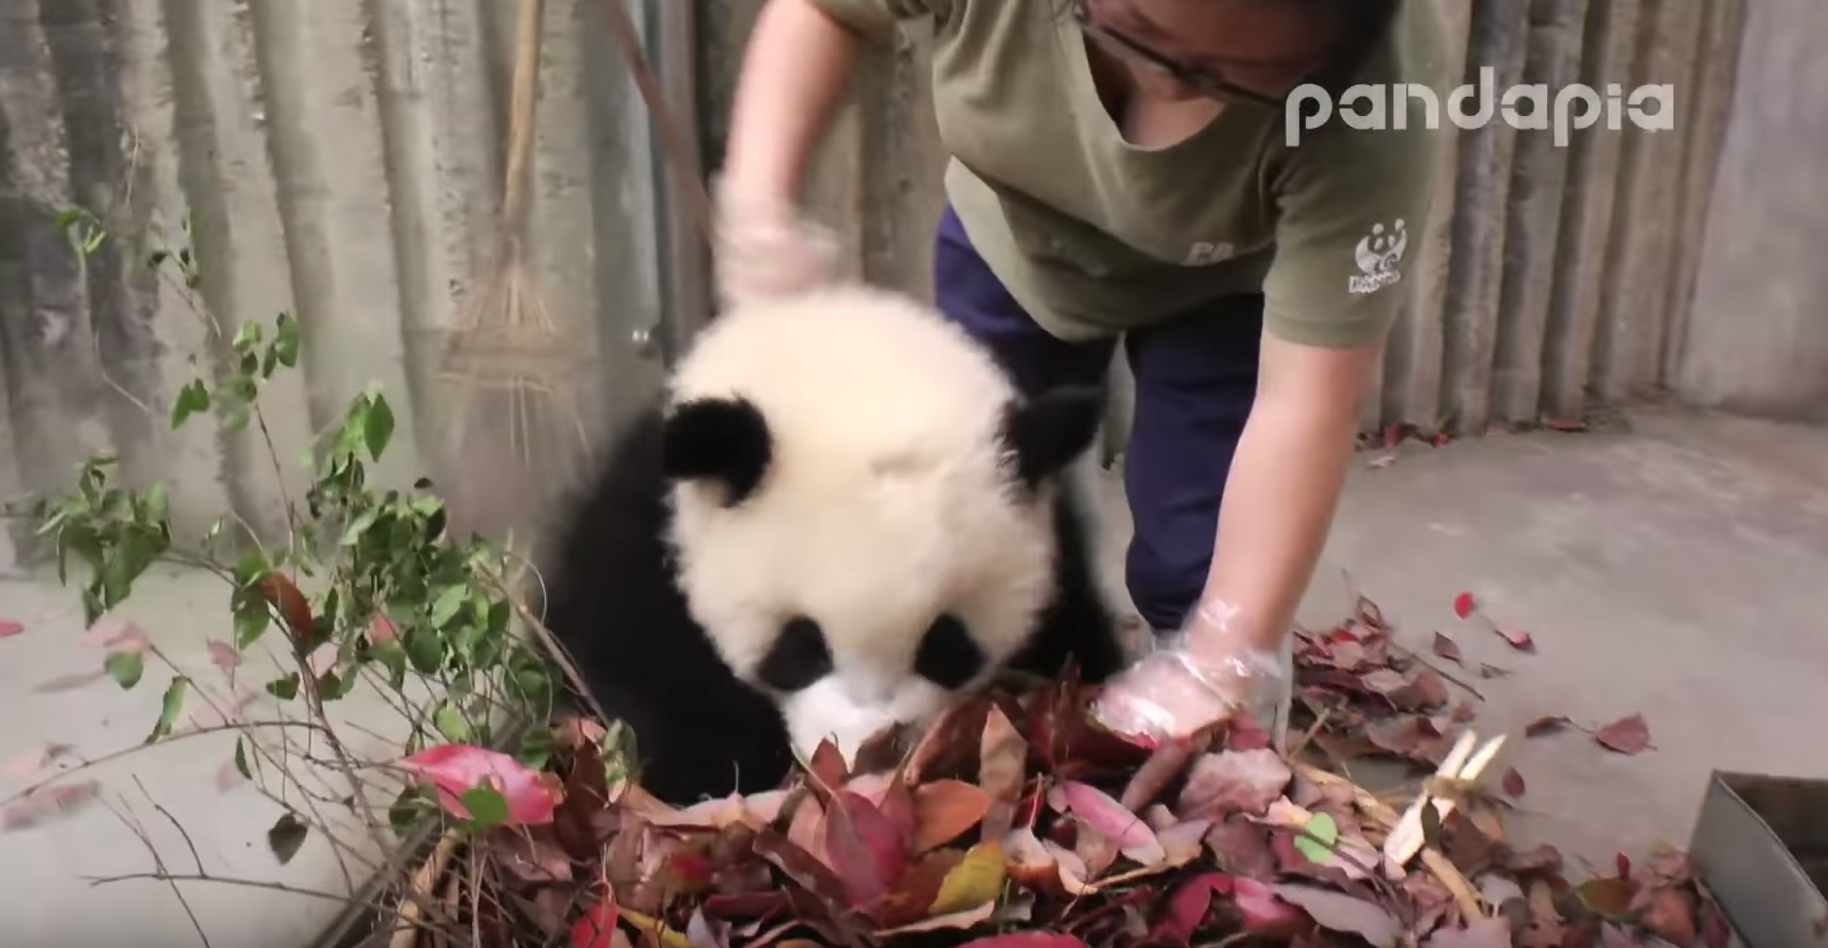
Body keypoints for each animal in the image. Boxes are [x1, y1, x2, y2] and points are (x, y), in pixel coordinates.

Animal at [535, 283, 1129, 805]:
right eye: (802, 646)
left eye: (945, 643)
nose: (868, 756)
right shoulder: (644, 544)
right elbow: (645, 671)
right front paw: (714, 772)